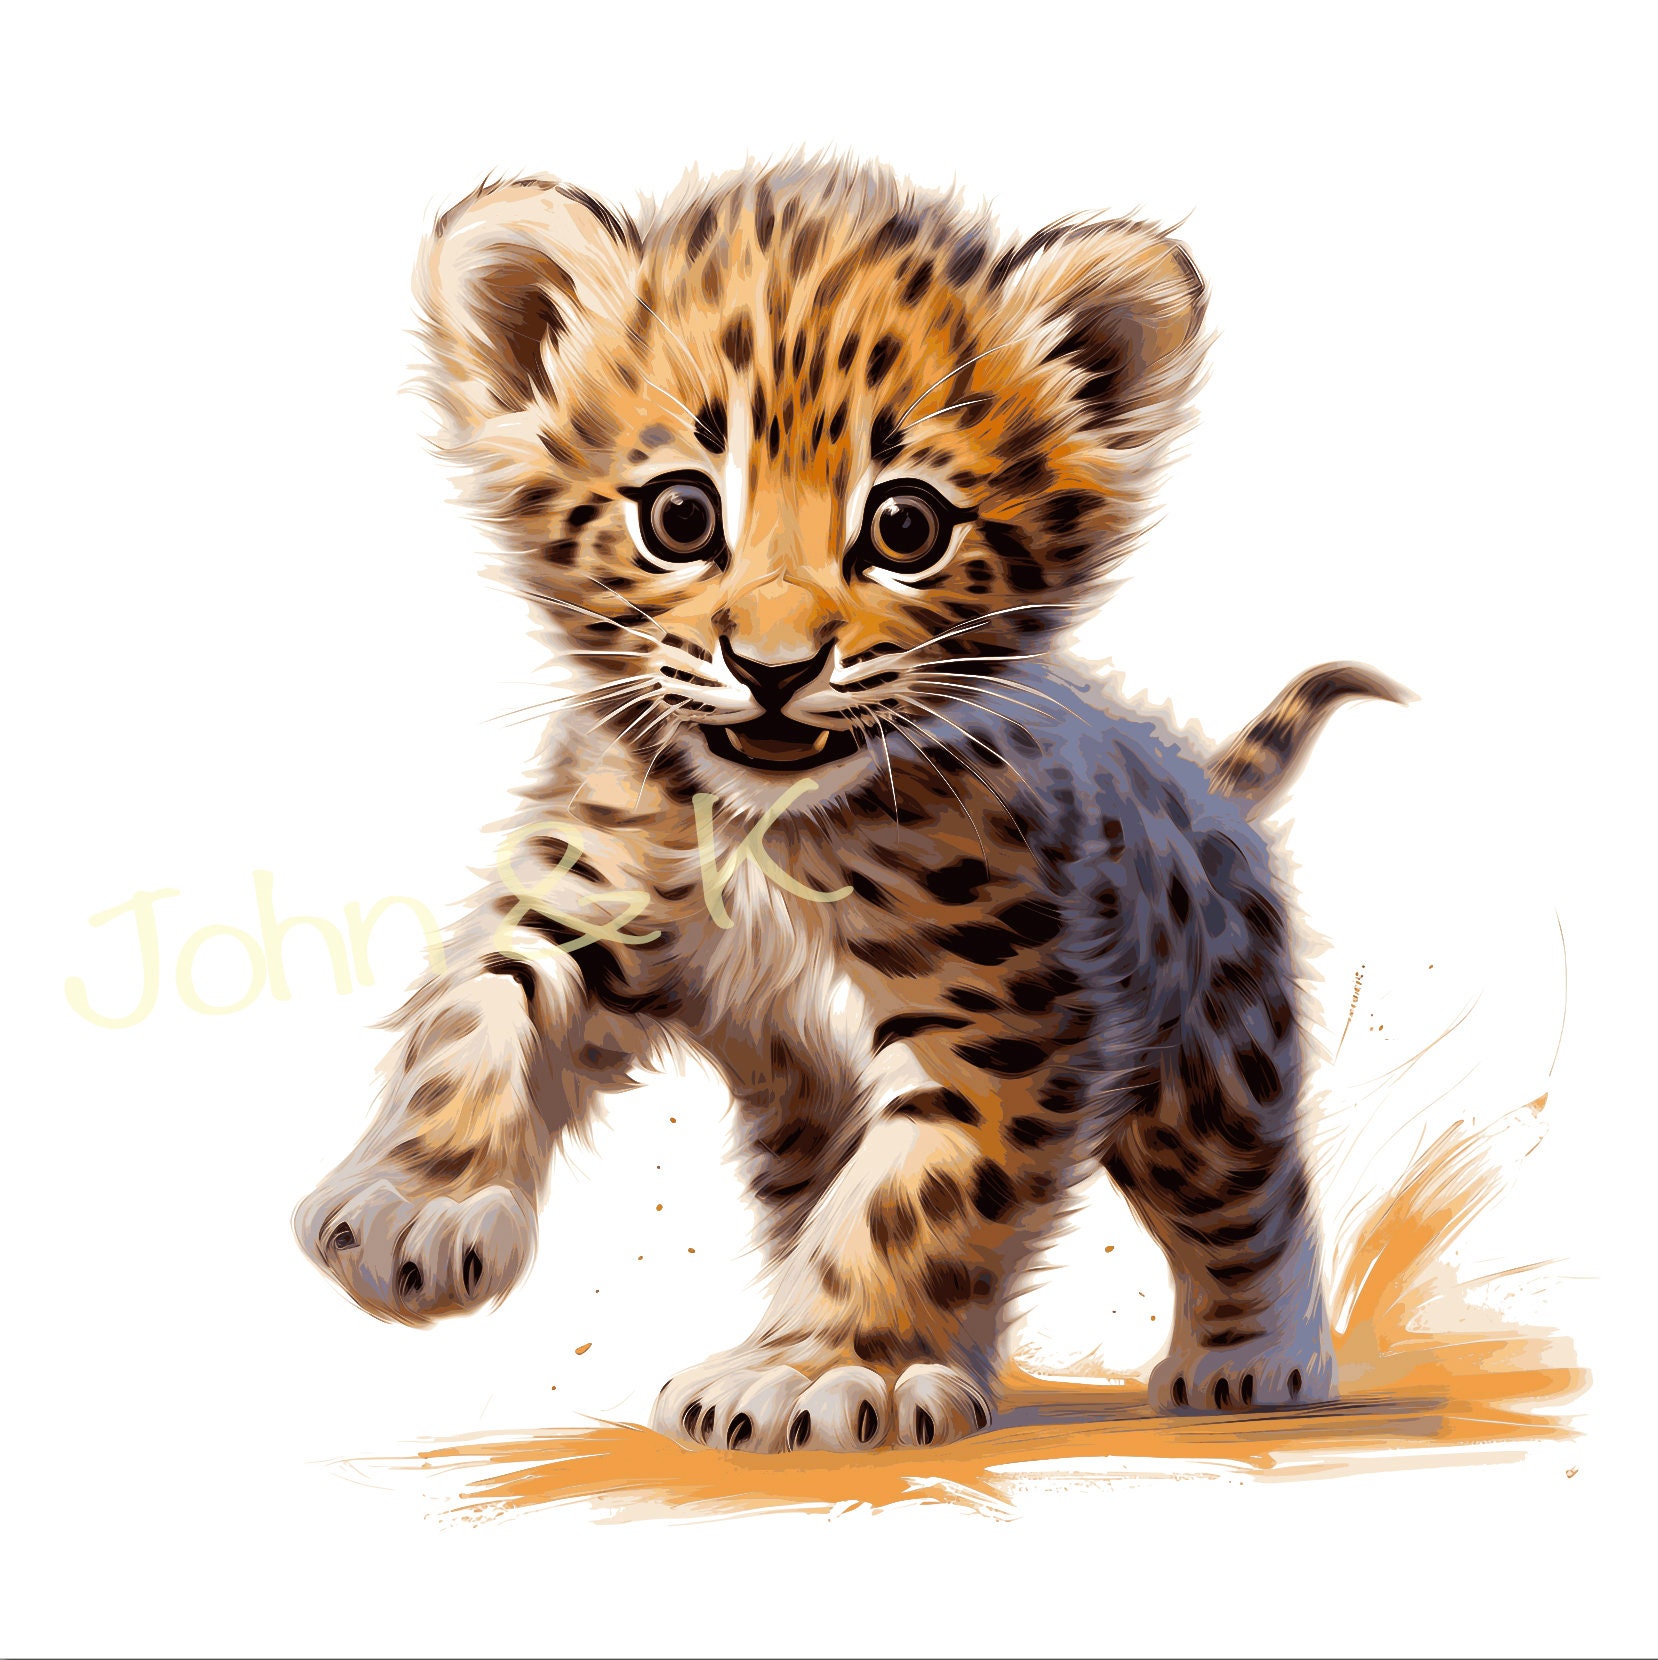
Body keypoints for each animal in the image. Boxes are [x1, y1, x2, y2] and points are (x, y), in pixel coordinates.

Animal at [294, 156, 1406, 1453]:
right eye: (679, 515)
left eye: (904, 526)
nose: (773, 667)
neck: (763, 829)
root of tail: (1201, 776)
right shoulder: (592, 894)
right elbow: (480, 1006)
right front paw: (409, 1205)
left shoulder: (1012, 1020)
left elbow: (919, 1191)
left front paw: (822, 1372)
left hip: (1213, 1063)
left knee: (1246, 1199)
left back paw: (1250, 1357)